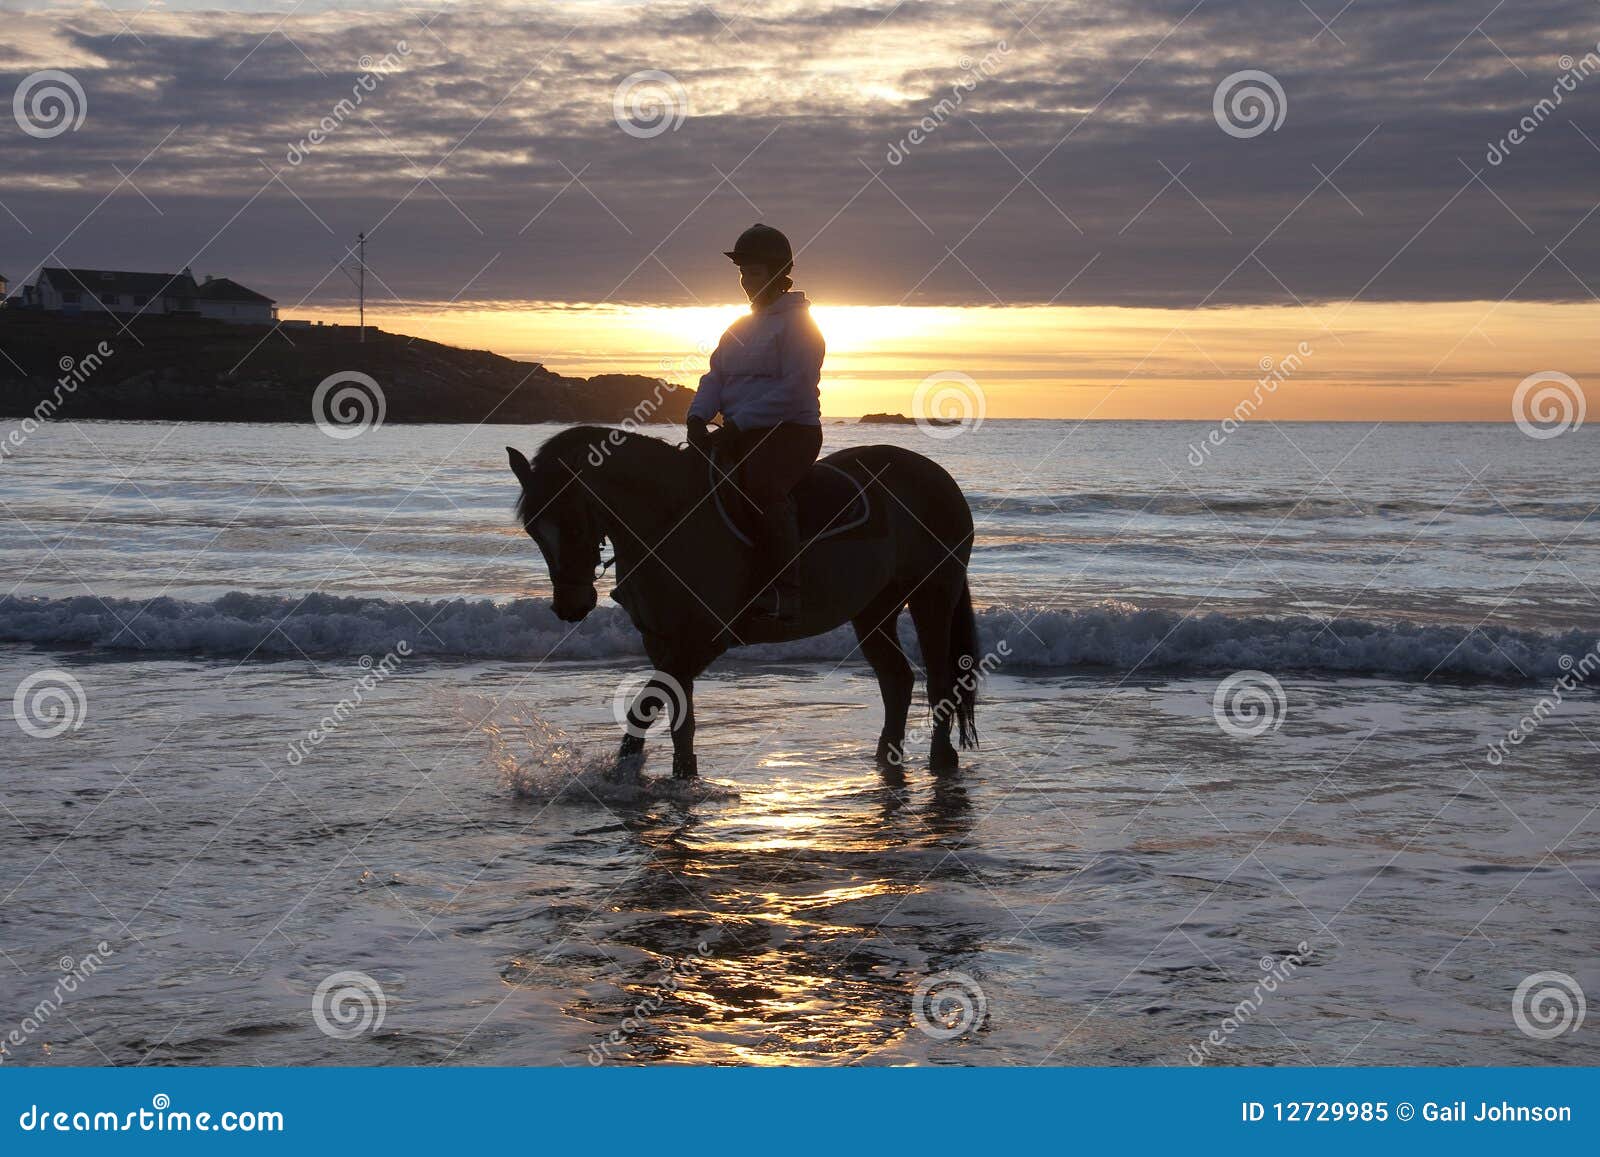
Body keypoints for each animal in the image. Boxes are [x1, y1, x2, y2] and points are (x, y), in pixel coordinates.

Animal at [506, 425, 979, 779]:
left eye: (572, 524)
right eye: (533, 529)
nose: (571, 606)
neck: (669, 518)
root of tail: (938, 476)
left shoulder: (707, 638)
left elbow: (645, 707)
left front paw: (622, 773)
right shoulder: (662, 640)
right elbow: (679, 717)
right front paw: (683, 778)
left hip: (934, 594)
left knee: (939, 679)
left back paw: (941, 760)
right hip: (873, 609)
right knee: (897, 679)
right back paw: (886, 760)